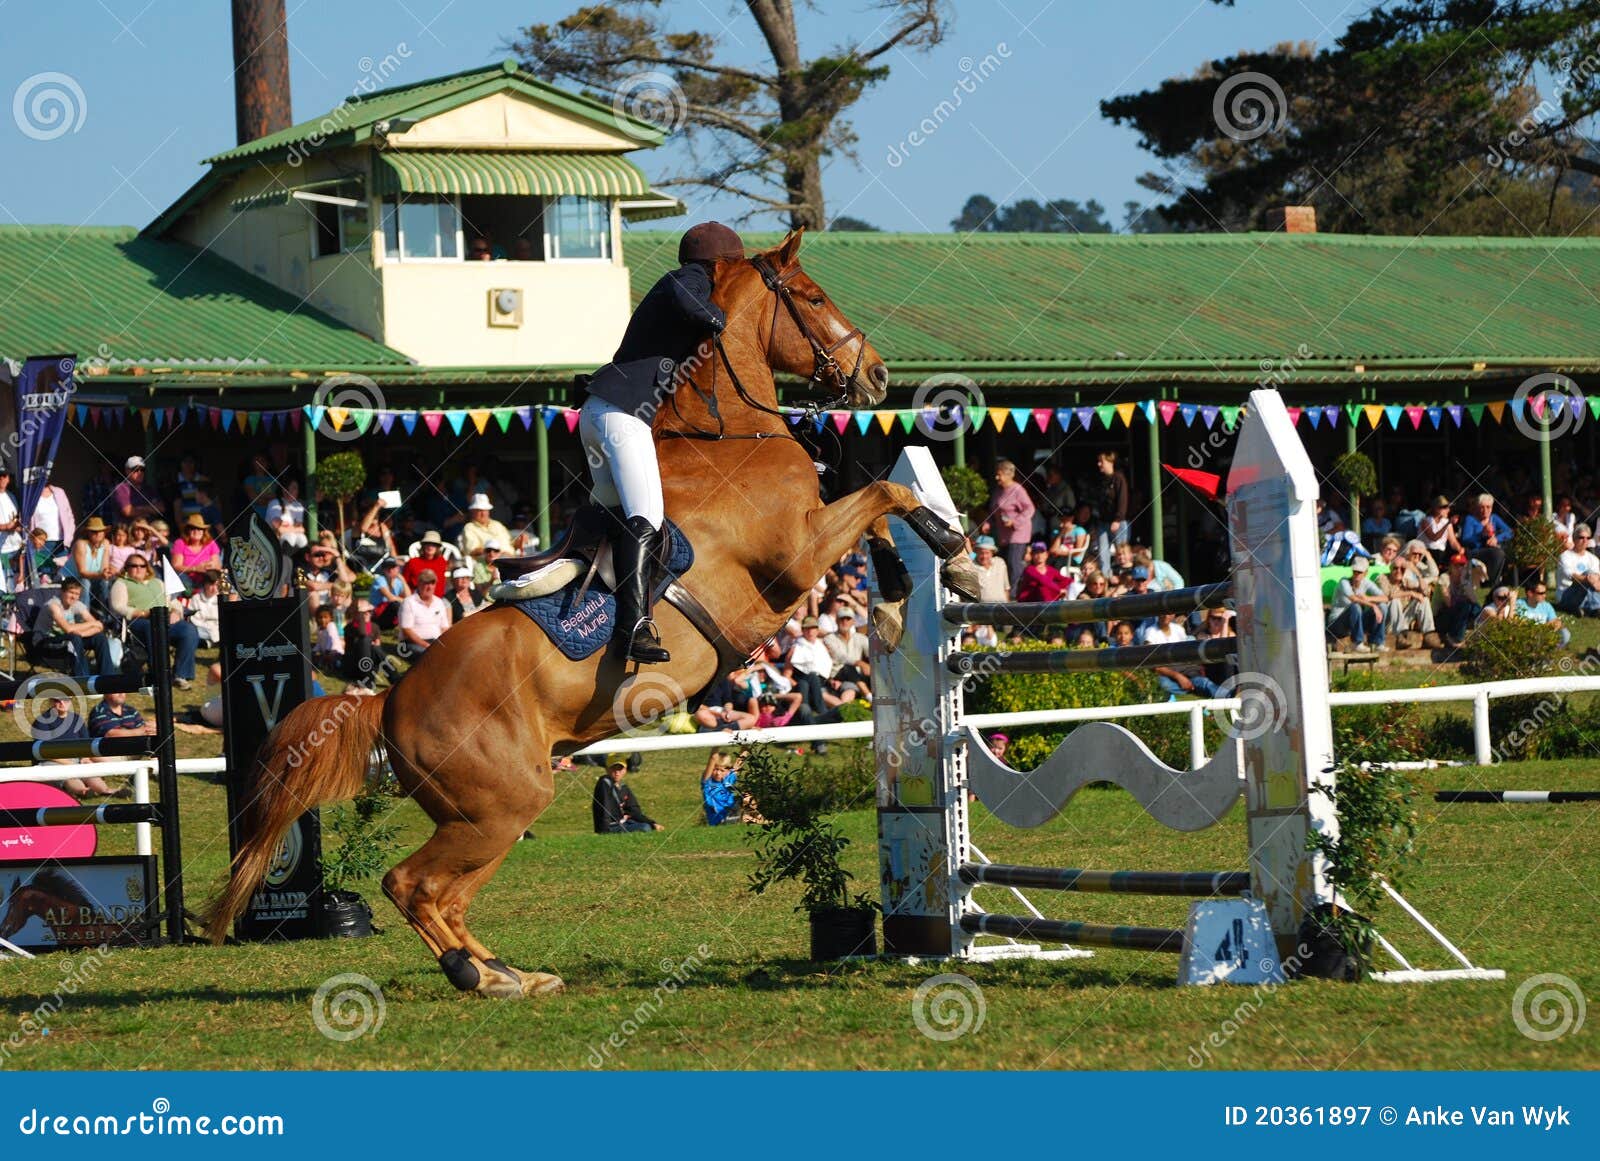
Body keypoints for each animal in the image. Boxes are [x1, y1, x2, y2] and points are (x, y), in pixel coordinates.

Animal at [207, 230, 979, 998]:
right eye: (813, 298)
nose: (877, 376)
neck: (730, 437)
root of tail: (388, 699)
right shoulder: (797, 554)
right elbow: (882, 493)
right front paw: (953, 551)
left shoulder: (812, 539)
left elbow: (877, 508)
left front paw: (905, 586)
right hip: (502, 804)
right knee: (411, 884)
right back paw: (474, 974)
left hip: (491, 811)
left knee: (447, 895)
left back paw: (509, 973)